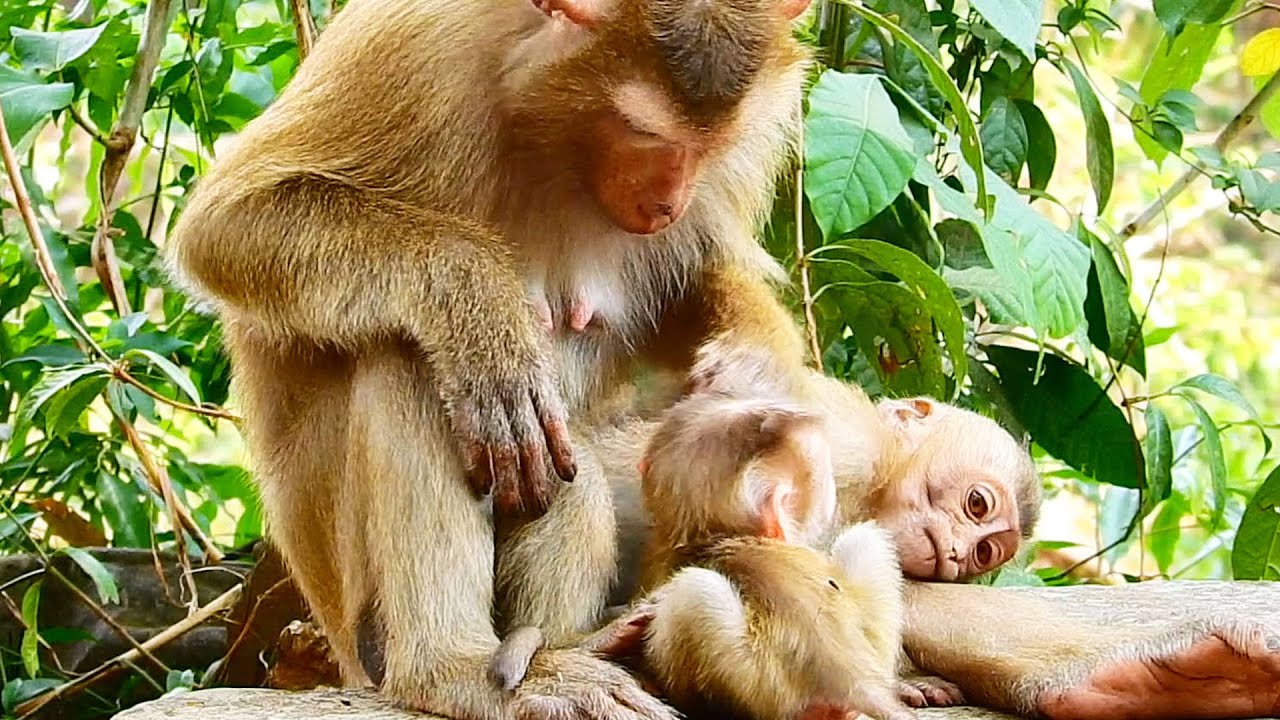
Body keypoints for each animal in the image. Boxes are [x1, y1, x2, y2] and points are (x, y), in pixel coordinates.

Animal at [165, 0, 819, 716]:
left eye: (709, 146)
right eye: (643, 132)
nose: (664, 205)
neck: (549, 127)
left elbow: (694, 278)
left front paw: (753, 361)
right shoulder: (412, 50)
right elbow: (230, 225)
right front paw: (480, 305)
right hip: (351, 604)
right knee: (414, 359)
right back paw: (455, 667)